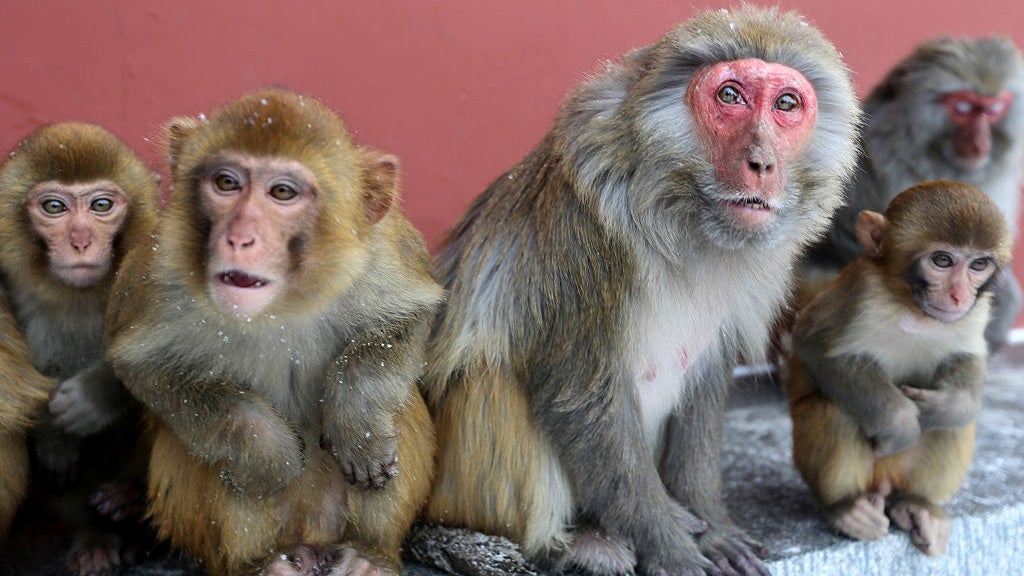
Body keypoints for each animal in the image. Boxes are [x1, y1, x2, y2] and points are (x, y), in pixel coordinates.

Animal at [0, 122, 159, 573]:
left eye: (101, 205)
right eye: (54, 207)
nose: (81, 241)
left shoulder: (149, 263)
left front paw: (93, 397)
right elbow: (19, 385)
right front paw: (55, 438)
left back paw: (131, 501)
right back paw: (95, 537)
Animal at [104, 87, 443, 576]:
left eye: (282, 192)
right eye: (226, 183)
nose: (239, 237)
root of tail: (310, 534)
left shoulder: (380, 250)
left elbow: (411, 314)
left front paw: (355, 421)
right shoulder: (156, 274)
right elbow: (144, 369)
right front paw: (267, 452)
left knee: (398, 405)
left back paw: (368, 554)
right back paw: (261, 564)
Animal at [414, 6, 861, 576]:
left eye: (786, 104)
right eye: (730, 96)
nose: (761, 162)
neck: (681, 210)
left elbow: (706, 376)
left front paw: (711, 524)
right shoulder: (588, 234)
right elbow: (583, 394)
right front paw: (669, 544)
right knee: (487, 376)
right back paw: (567, 546)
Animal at [788, 179, 1012, 557]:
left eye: (979, 264)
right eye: (942, 260)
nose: (958, 296)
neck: (912, 306)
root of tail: (886, 481)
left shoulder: (976, 311)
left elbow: (967, 359)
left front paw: (945, 406)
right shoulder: (859, 293)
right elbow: (815, 348)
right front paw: (902, 422)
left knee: (955, 425)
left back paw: (918, 505)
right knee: (833, 410)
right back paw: (845, 509)